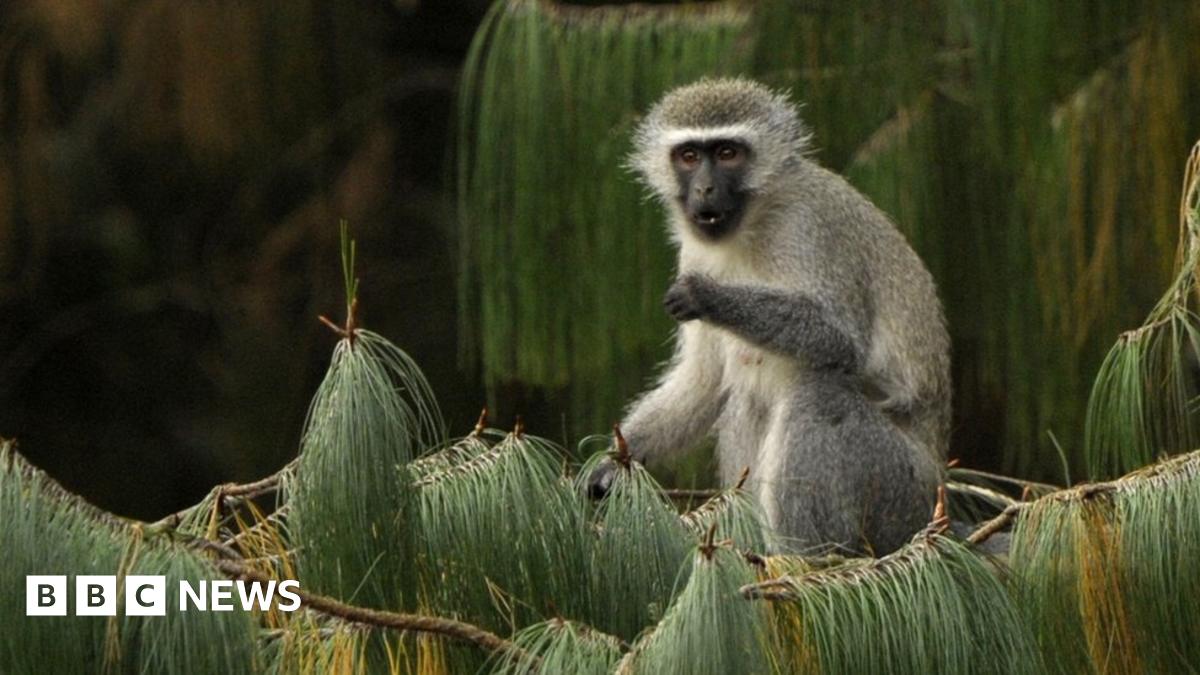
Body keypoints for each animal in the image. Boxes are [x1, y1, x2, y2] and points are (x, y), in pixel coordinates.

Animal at [586, 78, 950, 556]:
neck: (750, 226)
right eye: (689, 156)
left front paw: (708, 295)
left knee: (818, 394)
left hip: (897, 490)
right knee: (744, 396)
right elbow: (703, 381)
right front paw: (613, 465)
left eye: (727, 153)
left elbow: (840, 339)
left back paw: (800, 560)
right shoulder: (693, 252)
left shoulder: (809, 227)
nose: (704, 190)